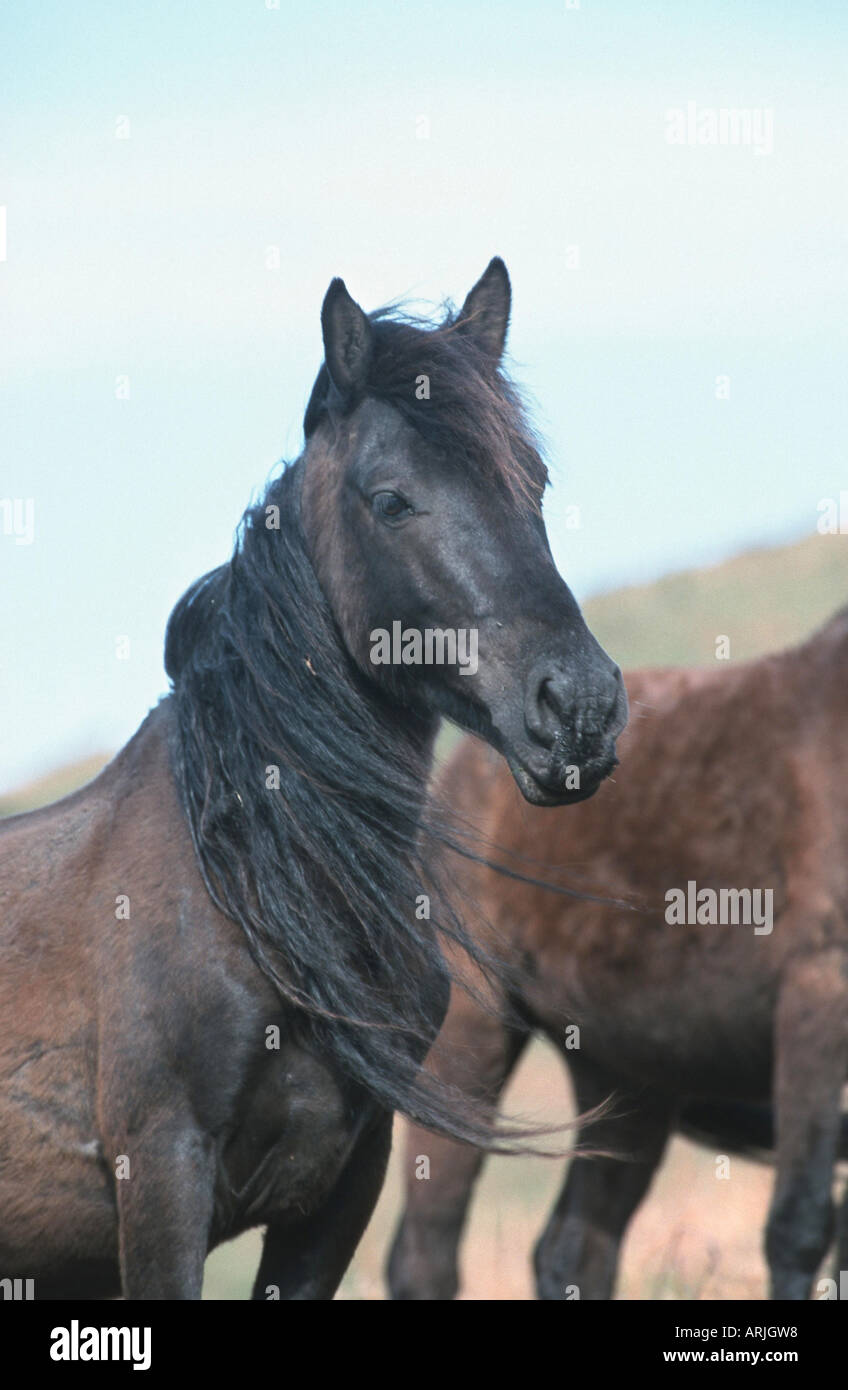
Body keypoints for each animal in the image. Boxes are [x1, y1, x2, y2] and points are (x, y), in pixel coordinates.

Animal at [0, 259, 627, 1300]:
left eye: (533, 483)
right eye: (392, 500)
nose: (579, 709)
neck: (253, 889)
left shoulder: (338, 1192)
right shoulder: (162, 1178)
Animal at [388, 605, 848, 1301]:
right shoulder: (817, 995)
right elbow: (798, 1227)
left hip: (627, 1073)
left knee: (574, 1256)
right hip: (470, 1035)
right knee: (425, 1255)